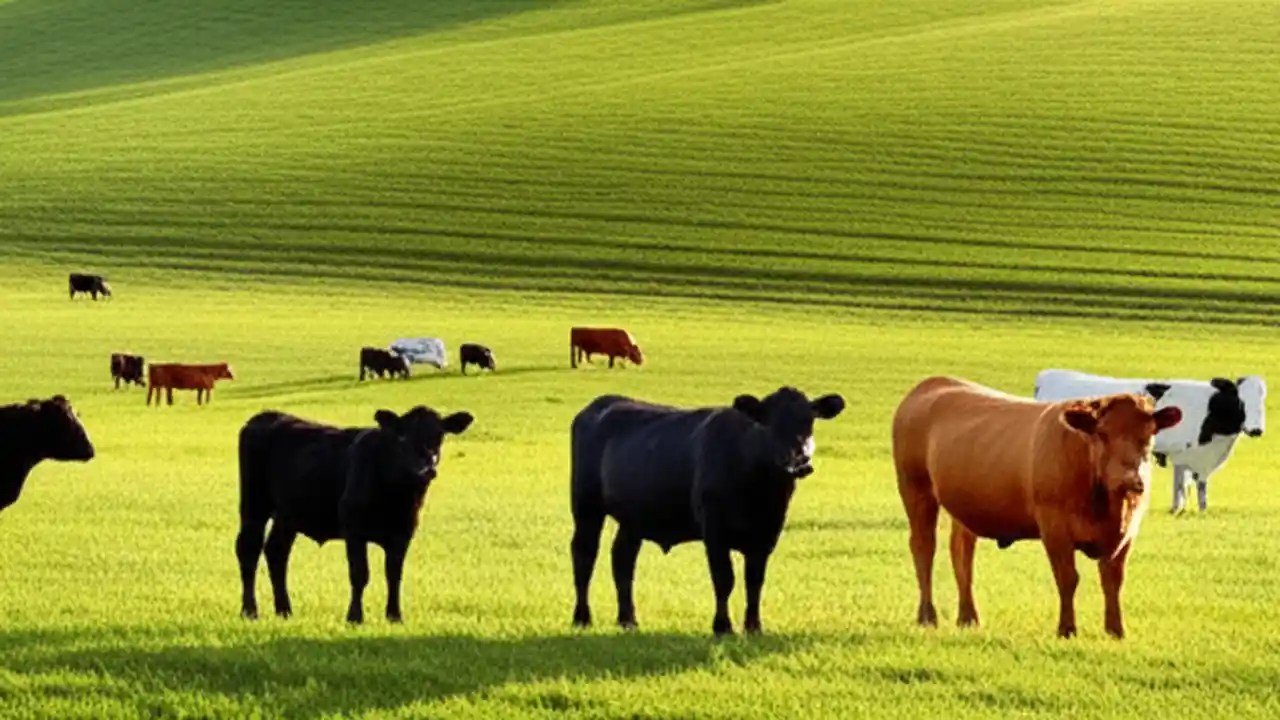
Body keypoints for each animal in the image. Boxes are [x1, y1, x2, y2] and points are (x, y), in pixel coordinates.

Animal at [235, 405, 474, 623]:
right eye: (403, 437)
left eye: (439, 436)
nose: (427, 467)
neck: (397, 495)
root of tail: (265, 415)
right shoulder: (353, 528)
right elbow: (360, 574)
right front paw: (355, 617)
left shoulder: (403, 533)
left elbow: (394, 575)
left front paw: (394, 616)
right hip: (253, 505)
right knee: (249, 550)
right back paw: (250, 611)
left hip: (287, 515)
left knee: (276, 551)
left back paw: (284, 611)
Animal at [570, 387, 845, 636]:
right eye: (770, 423)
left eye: (809, 421)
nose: (801, 460)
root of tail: (600, 404)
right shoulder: (715, 532)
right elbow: (724, 579)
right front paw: (722, 626)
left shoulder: (766, 535)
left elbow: (754, 582)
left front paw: (754, 627)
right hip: (586, 507)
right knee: (584, 555)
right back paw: (582, 618)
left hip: (633, 519)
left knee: (623, 560)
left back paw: (628, 620)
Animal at [892, 376, 1182, 639]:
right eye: (1102, 434)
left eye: (1149, 435)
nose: (1130, 480)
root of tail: (931, 384)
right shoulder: (1055, 528)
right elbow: (1068, 578)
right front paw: (1066, 629)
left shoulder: (1126, 534)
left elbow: (1113, 580)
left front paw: (1115, 630)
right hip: (916, 490)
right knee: (924, 548)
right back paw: (927, 616)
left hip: (962, 507)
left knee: (961, 552)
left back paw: (968, 617)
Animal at [1035, 369, 1266, 513]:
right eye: (1240, 401)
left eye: (1263, 400)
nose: (1256, 430)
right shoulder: (1191, 453)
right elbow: (1192, 485)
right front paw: (1192, 509)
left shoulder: (1189, 456)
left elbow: (1187, 484)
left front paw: (1182, 509)